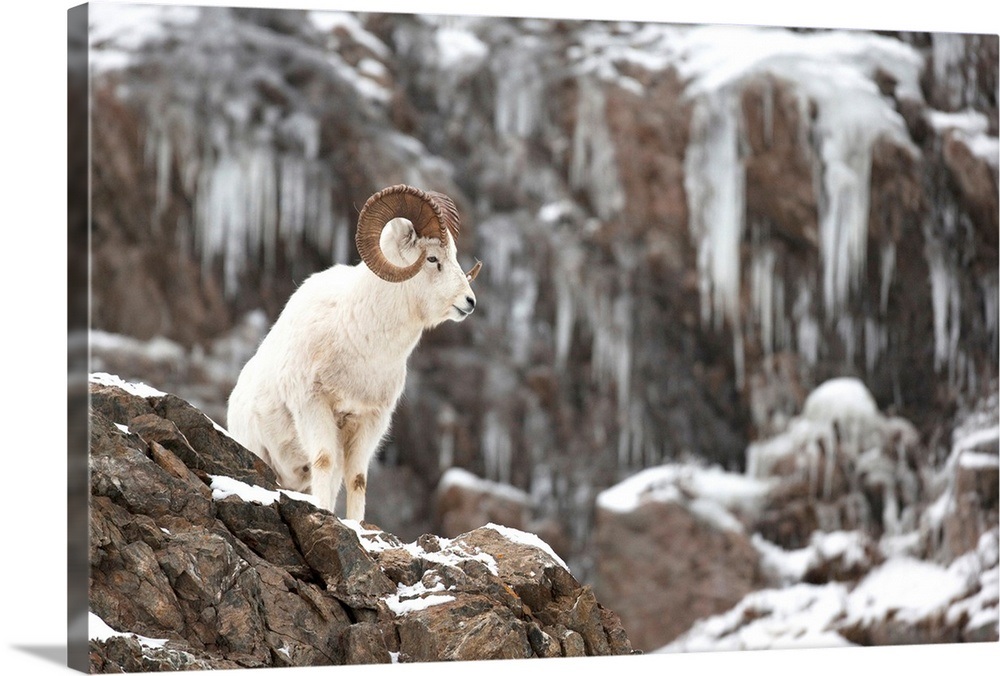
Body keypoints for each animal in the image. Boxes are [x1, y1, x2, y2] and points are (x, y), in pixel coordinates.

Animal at [226, 184, 482, 521]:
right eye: (432, 258)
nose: (469, 302)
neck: (360, 344)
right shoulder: (314, 407)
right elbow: (325, 461)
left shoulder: (370, 421)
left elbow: (357, 479)